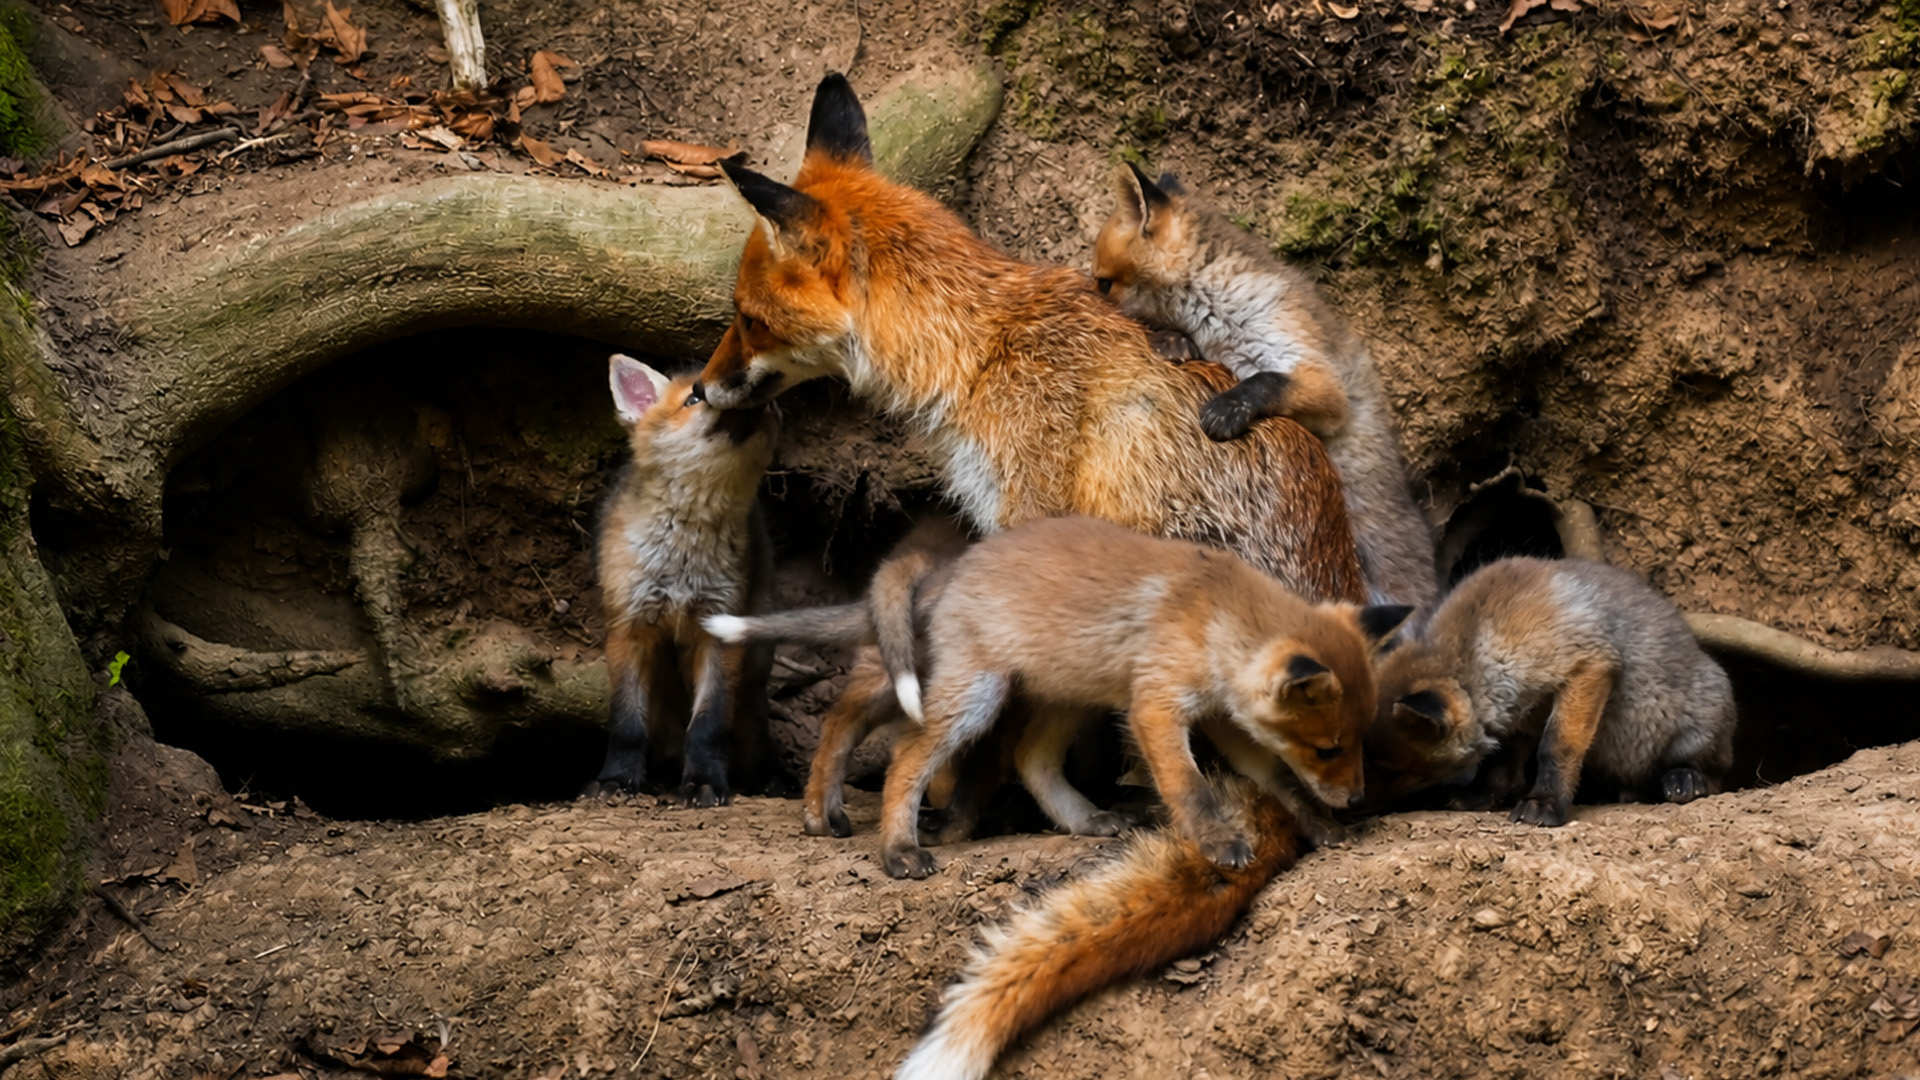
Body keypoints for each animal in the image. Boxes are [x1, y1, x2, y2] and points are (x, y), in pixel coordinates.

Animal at [581, 354, 782, 807]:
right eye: (693, 397)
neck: (683, 561)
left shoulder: (719, 628)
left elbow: (709, 725)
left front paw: (705, 780)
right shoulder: (628, 628)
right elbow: (626, 725)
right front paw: (617, 779)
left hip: (754, 665)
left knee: (752, 725)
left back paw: (766, 777)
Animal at [868, 515, 1410, 880]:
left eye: (1358, 740)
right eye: (1328, 750)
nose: (1358, 798)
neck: (1214, 620)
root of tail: (959, 563)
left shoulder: (1223, 719)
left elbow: (1282, 779)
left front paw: (1320, 825)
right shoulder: (1154, 707)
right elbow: (1191, 787)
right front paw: (1218, 841)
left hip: (1073, 697)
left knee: (1030, 758)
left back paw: (1085, 819)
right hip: (980, 695)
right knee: (907, 756)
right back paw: (899, 849)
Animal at [1092, 163, 1440, 611]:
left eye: (1103, 284)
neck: (1214, 310)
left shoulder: (1321, 381)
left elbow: (1266, 379)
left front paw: (1226, 410)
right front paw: (1174, 342)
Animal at [1367, 556, 1738, 825]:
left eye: (1396, 771)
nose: (1355, 805)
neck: (1479, 636)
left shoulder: (1587, 664)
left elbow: (1556, 746)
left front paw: (1546, 802)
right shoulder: (1518, 710)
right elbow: (1498, 766)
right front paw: (1479, 797)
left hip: (1701, 726)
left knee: (1716, 777)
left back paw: (1686, 779)